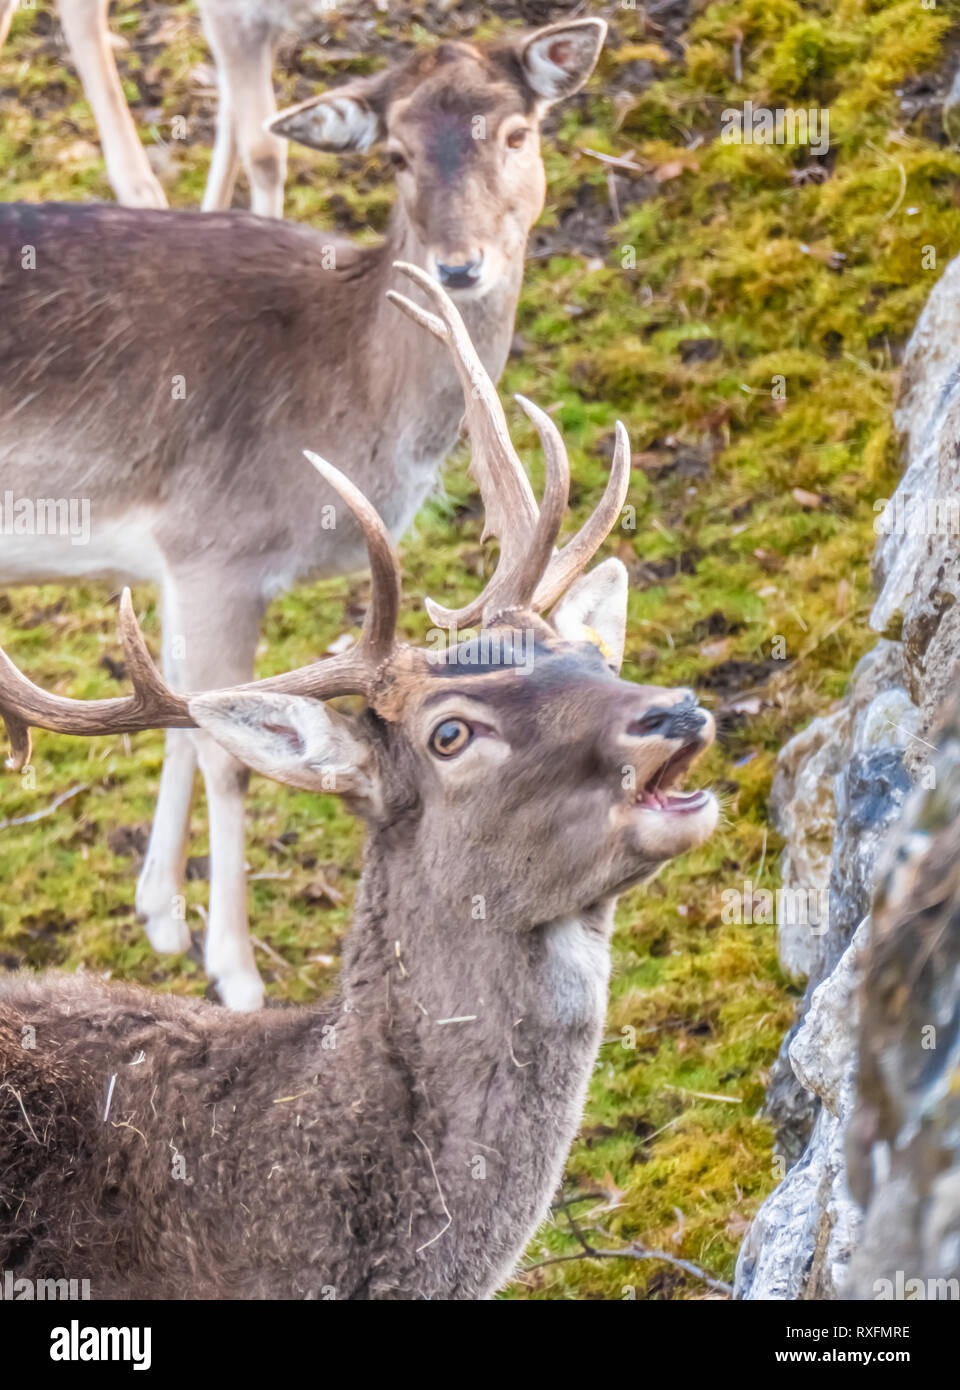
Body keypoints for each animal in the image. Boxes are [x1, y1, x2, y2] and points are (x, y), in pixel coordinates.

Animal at [0, 16, 607, 1012]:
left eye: (519, 132)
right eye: (396, 153)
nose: (459, 267)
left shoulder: (175, 564)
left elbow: (183, 712)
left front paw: (160, 912)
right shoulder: (216, 546)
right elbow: (223, 752)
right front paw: (237, 974)